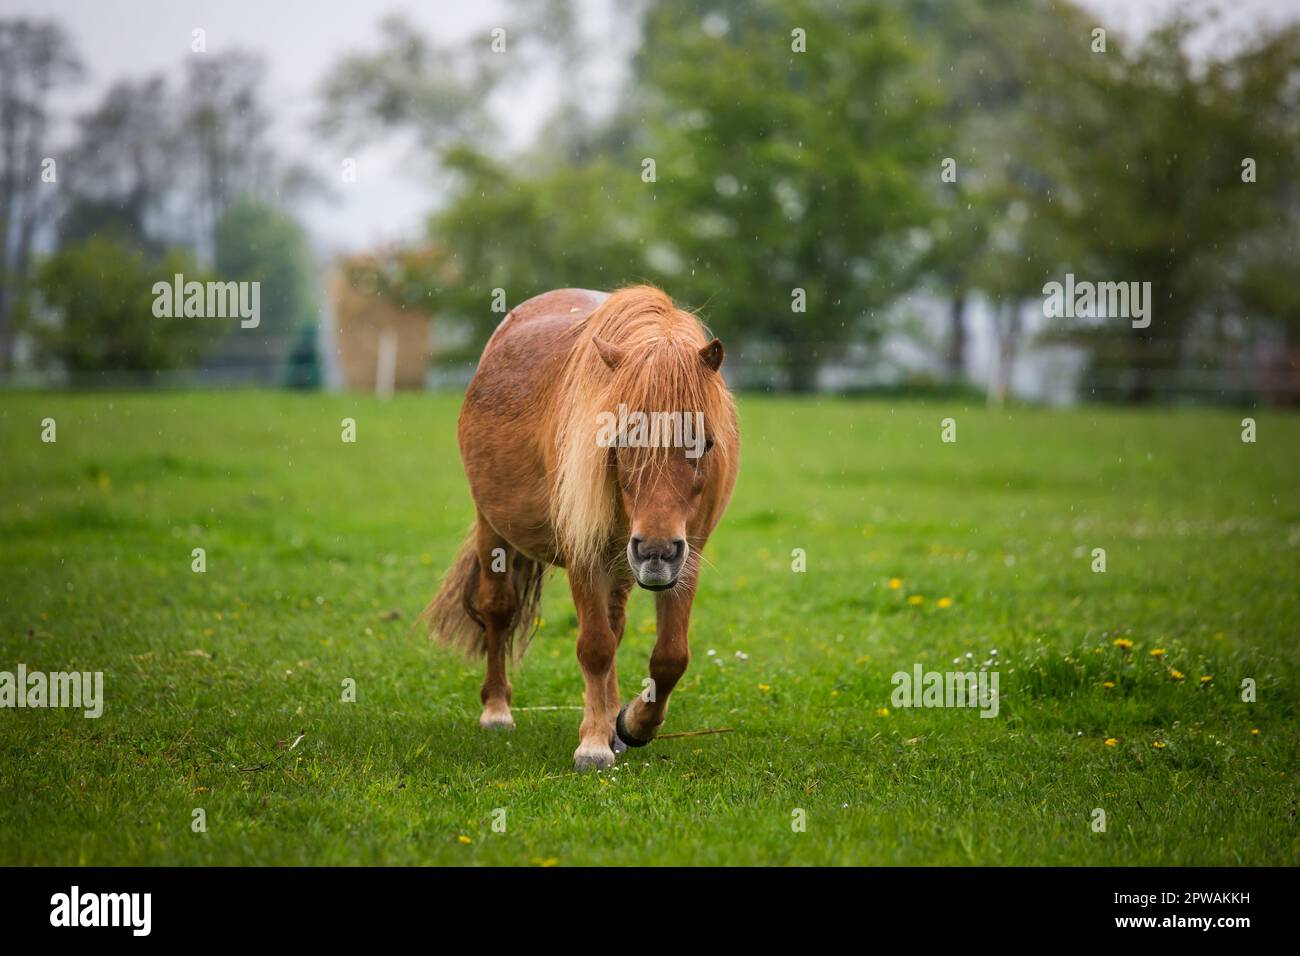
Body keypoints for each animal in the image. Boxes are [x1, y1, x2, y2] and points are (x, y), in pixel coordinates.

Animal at [423, 285, 739, 770]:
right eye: (620, 439)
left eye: (704, 442)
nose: (656, 551)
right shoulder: (584, 552)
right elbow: (595, 646)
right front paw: (593, 744)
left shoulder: (687, 559)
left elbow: (669, 657)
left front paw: (631, 724)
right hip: (492, 527)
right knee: (498, 609)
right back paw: (497, 710)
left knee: (616, 624)